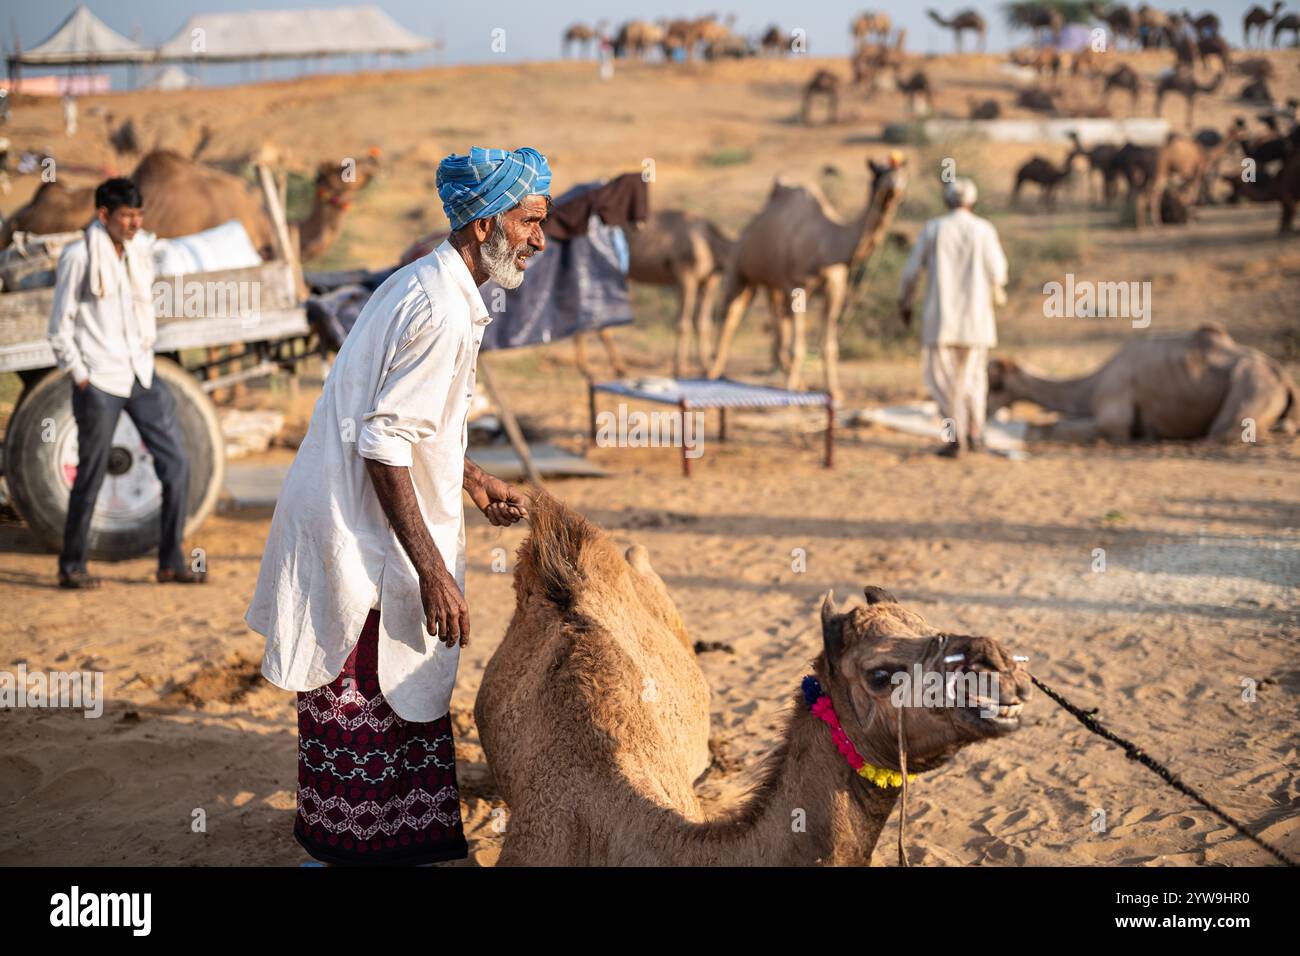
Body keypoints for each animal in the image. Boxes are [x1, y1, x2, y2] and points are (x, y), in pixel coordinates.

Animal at [625, 210, 733, 377]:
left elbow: (703, 324)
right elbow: (682, 324)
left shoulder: (709, 281)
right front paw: (679, 369)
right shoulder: (685, 278)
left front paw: (706, 367)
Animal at [706, 155, 908, 398]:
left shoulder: (835, 287)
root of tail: (744, 232)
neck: (826, 244)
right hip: (739, 271)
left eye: (902, 171)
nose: (895, 184)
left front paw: (834, 391)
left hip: (770, 285)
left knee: (776, 322)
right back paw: (713, 372)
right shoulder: (796, 285)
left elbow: (830, 347)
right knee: (730, 315)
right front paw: (791, 389)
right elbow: (797, 346)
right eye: (878, 172)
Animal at [988, 325, 1299, 442]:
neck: (1092, 386)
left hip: (1250, 388)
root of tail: (1284, 377)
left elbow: (1055, 425)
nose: (986, 410)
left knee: (1224, 430)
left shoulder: (1114, 421)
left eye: (994, 384)